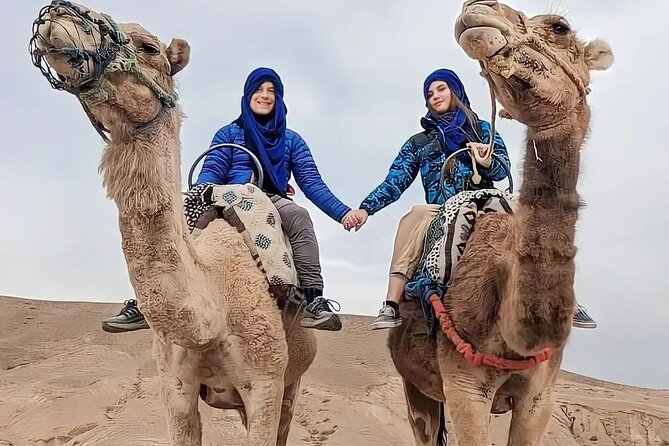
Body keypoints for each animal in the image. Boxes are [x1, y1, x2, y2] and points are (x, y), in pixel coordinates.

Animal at [30, 3, 316, 445]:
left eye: (149, 47)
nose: (59, 16)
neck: (215, 302)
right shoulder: (174, 386)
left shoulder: (265, 384)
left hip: (291, 383)